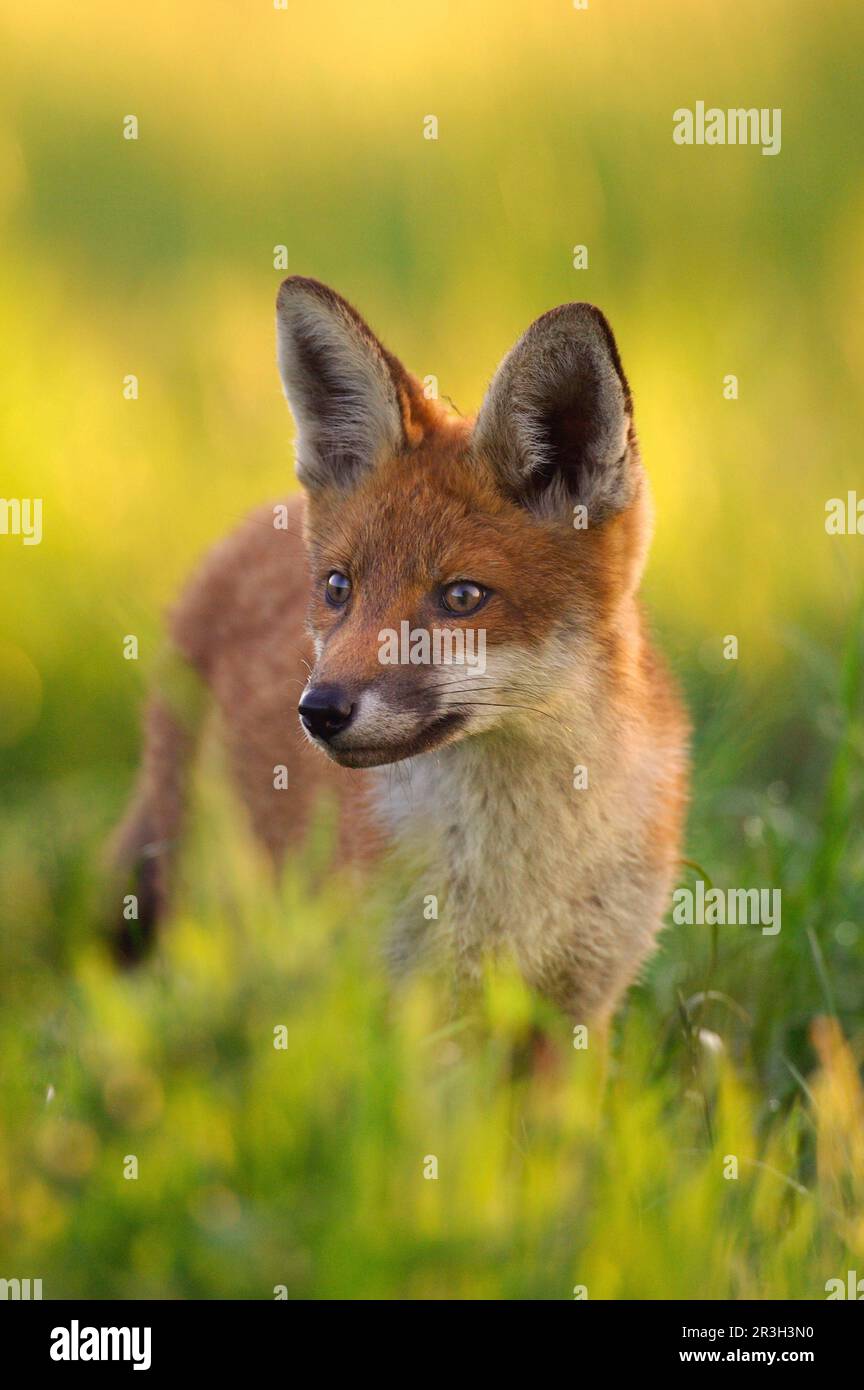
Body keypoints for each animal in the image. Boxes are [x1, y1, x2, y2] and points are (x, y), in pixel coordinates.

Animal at [112, 276, 690, 1025]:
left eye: (462, 597)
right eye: (338, 588)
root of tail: (243, 528)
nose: (319, 711)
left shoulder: (579, 1006)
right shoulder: (404, 999)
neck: (521, 878)